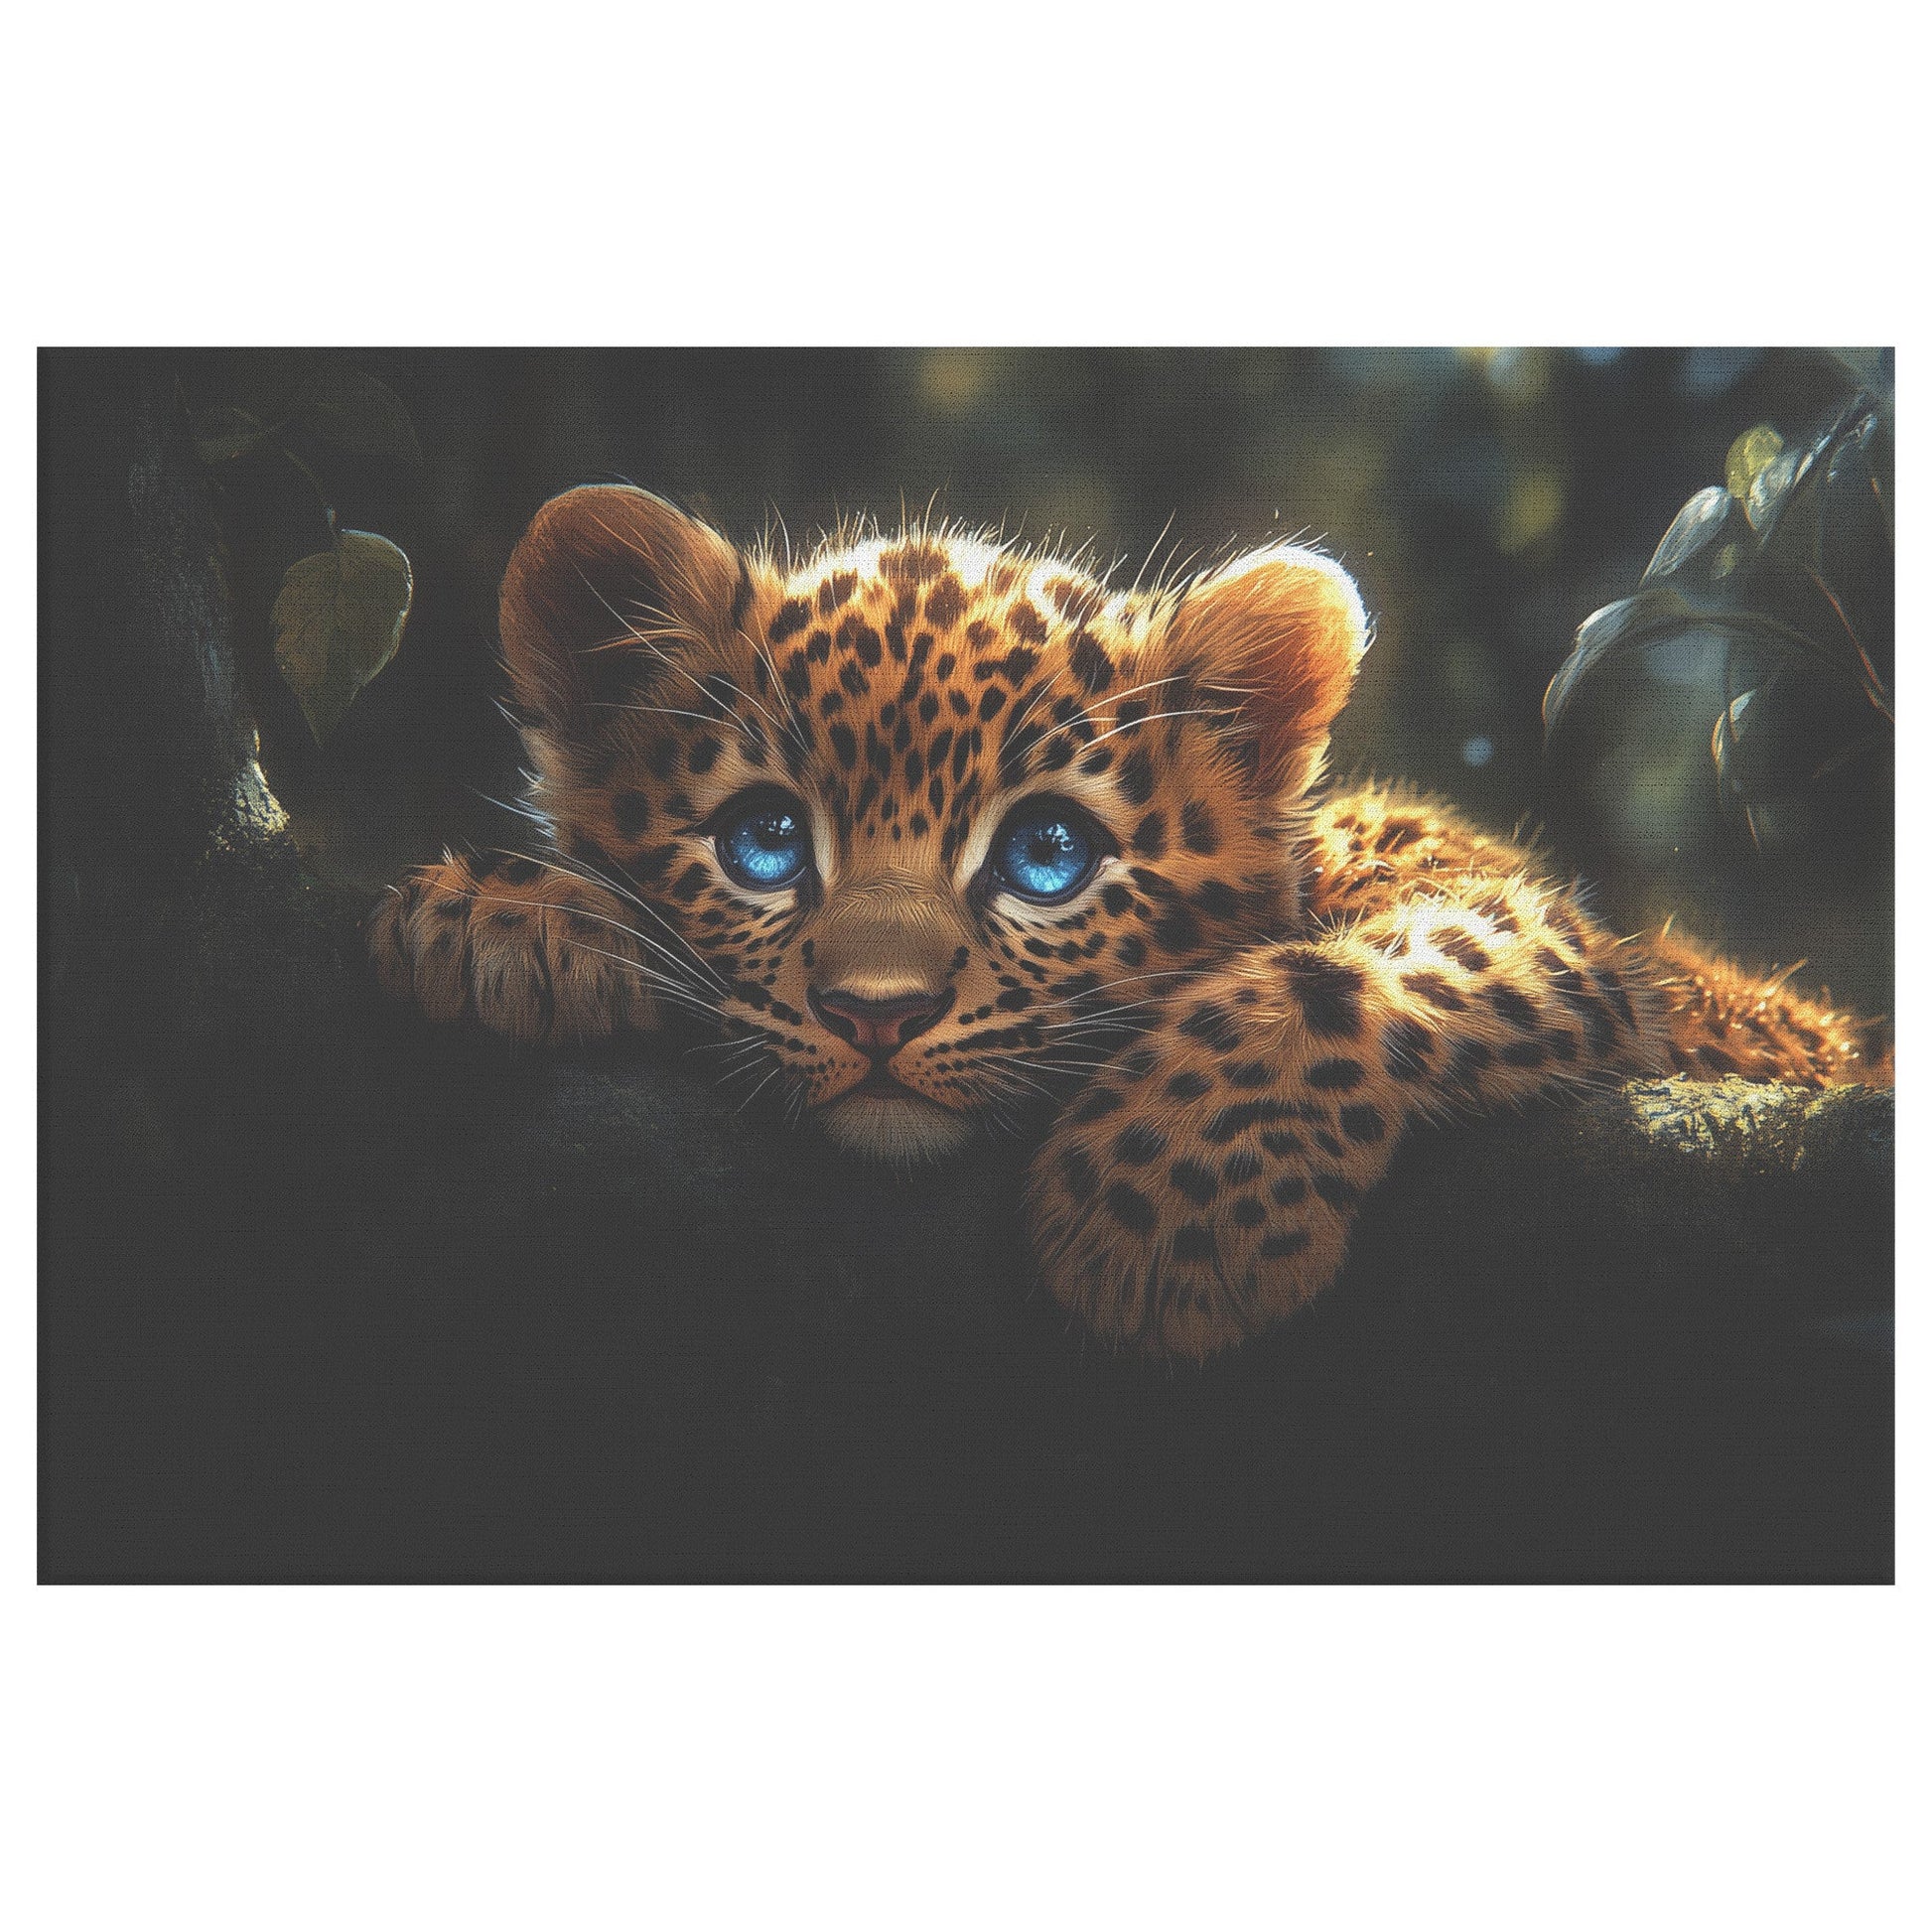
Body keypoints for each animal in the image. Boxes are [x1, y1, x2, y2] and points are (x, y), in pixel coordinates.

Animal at [367, 485, 1892, 1361]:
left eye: (1048, 856)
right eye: (763, 841)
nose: (874, 1013)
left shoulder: (1559, 937)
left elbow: (1353, 968)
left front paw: (1167, 1215)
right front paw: (504, 911)